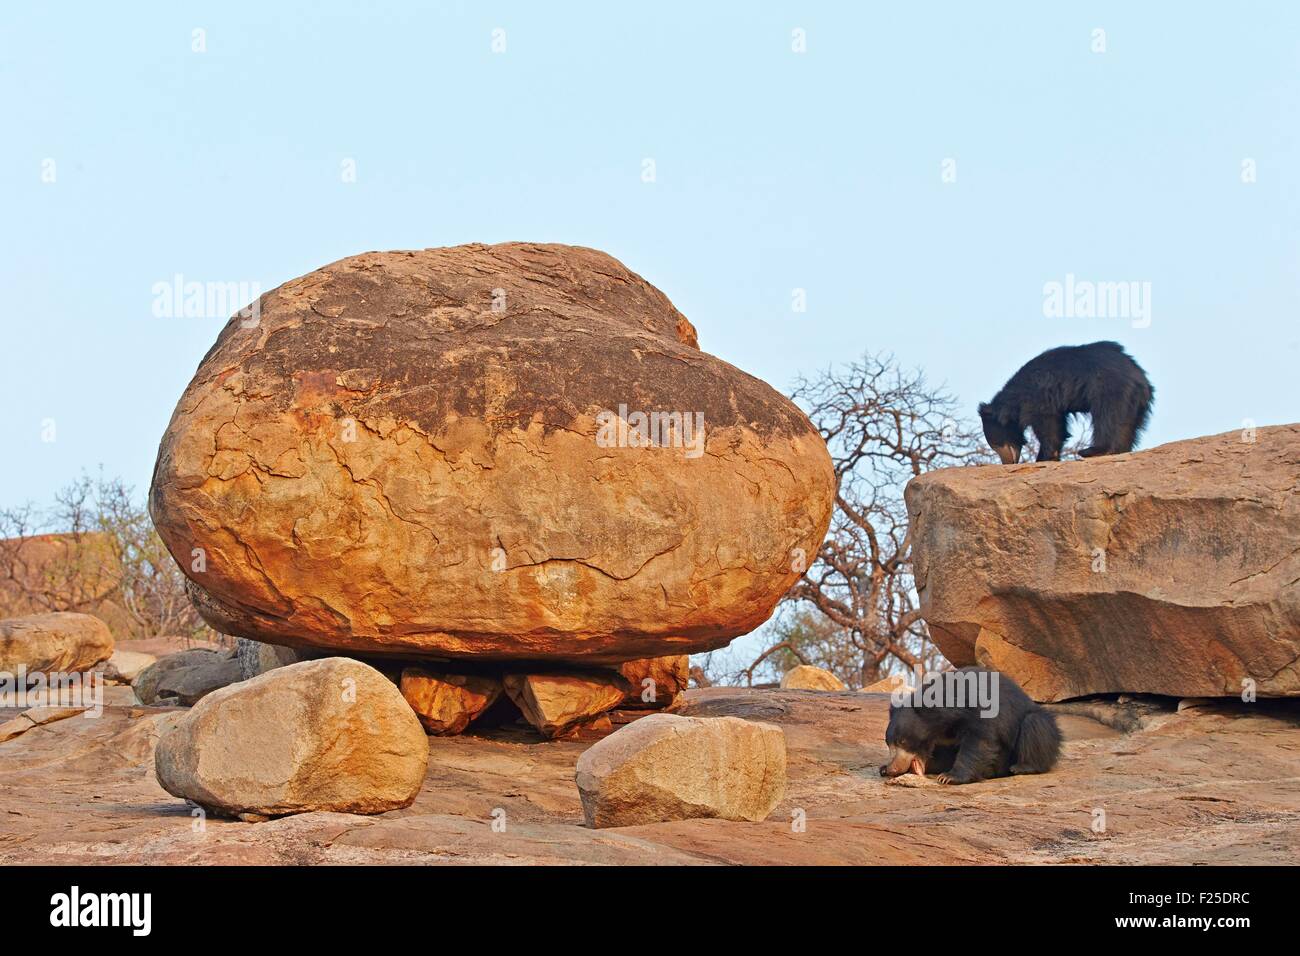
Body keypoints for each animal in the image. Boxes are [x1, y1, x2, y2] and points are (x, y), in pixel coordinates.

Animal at [878, 667, 1061, 785]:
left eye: (902, 741)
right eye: (889, 743)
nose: (892, 769)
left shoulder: (980, 709)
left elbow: (979, 741)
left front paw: (949, 777)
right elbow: (943, 754)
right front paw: (884, 768)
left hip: (1034, 724)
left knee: (1035, 724)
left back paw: (1022, 767)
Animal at [978, 341, 1153, 463]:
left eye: (996, 444)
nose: (1007, 462)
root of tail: (1140, 378)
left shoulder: (1038, 397)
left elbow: (1048, 425)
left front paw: (1045, 457)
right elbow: (1059, 427)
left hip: (1109, 389)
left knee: (1106, 418)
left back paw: (1092, 451)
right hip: (1135, 402)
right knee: (1127, 426)